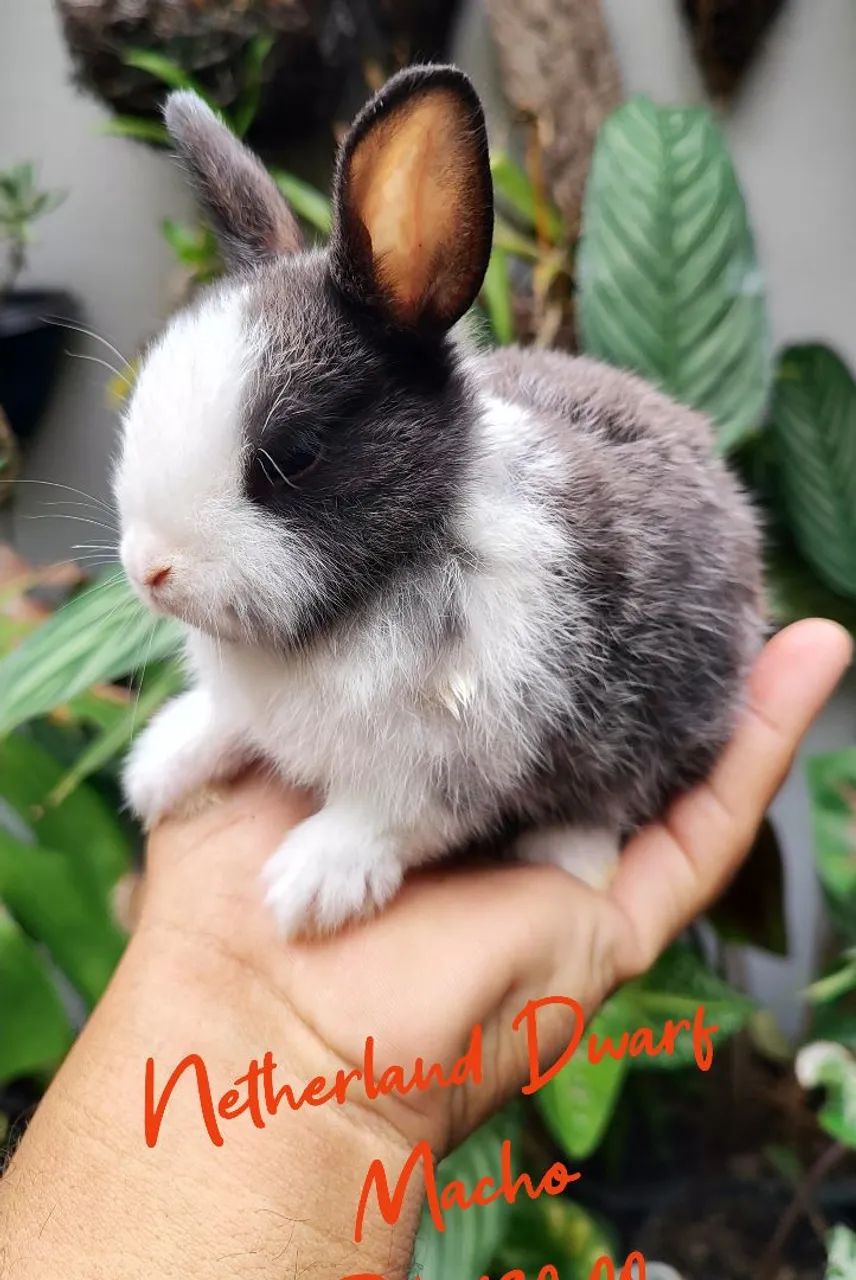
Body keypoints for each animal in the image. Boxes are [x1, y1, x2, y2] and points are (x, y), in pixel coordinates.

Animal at [116, 64, 765, 938]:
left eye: (296, 454)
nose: (148, 569)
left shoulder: (460, 762)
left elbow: (391, 818)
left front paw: (309, 885)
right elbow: (225, 719)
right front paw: (158, 767)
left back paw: (571, 851)